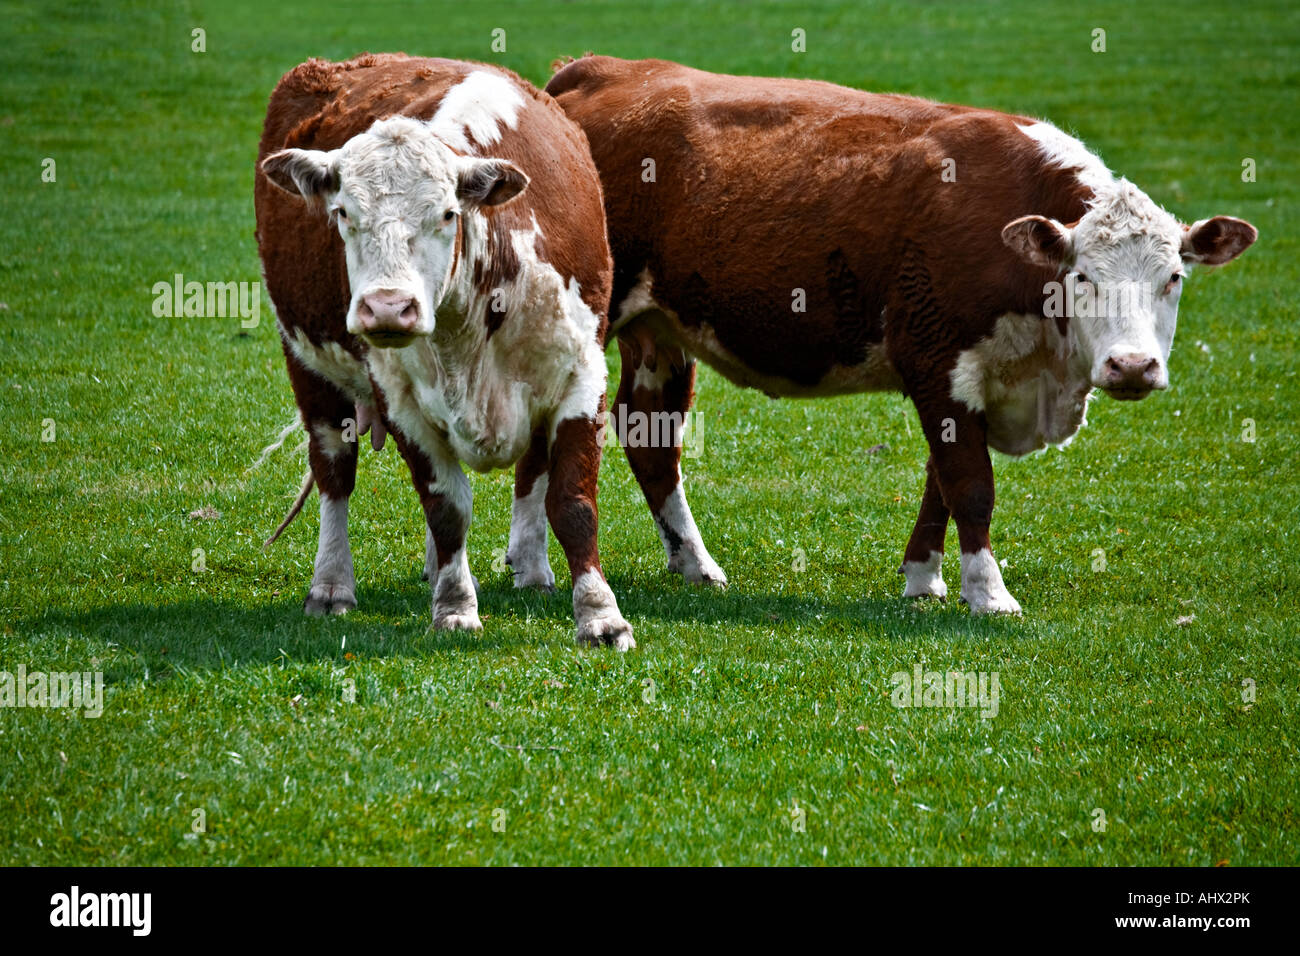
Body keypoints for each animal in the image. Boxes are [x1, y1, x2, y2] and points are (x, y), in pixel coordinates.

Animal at [255, 54, 633, 648]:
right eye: (342, 213)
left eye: (448, 214)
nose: (387, 308)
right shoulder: (400, 401)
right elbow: (447, 507)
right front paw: (455, 607)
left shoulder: (582, 376)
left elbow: (572, 503)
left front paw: (600, 615)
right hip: (308, 368)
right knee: (335, 471)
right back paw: (333, 584)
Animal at [544, 56, 1257, 614]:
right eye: (1081, 277)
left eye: (1173, 278)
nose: (1133, 367)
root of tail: (596, 70)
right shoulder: (940, 361)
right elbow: (969, 484)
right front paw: (988, 592)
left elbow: (941, 482)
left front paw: (925, 577)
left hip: (657, 329)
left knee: (650, 437)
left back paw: (692, 562)